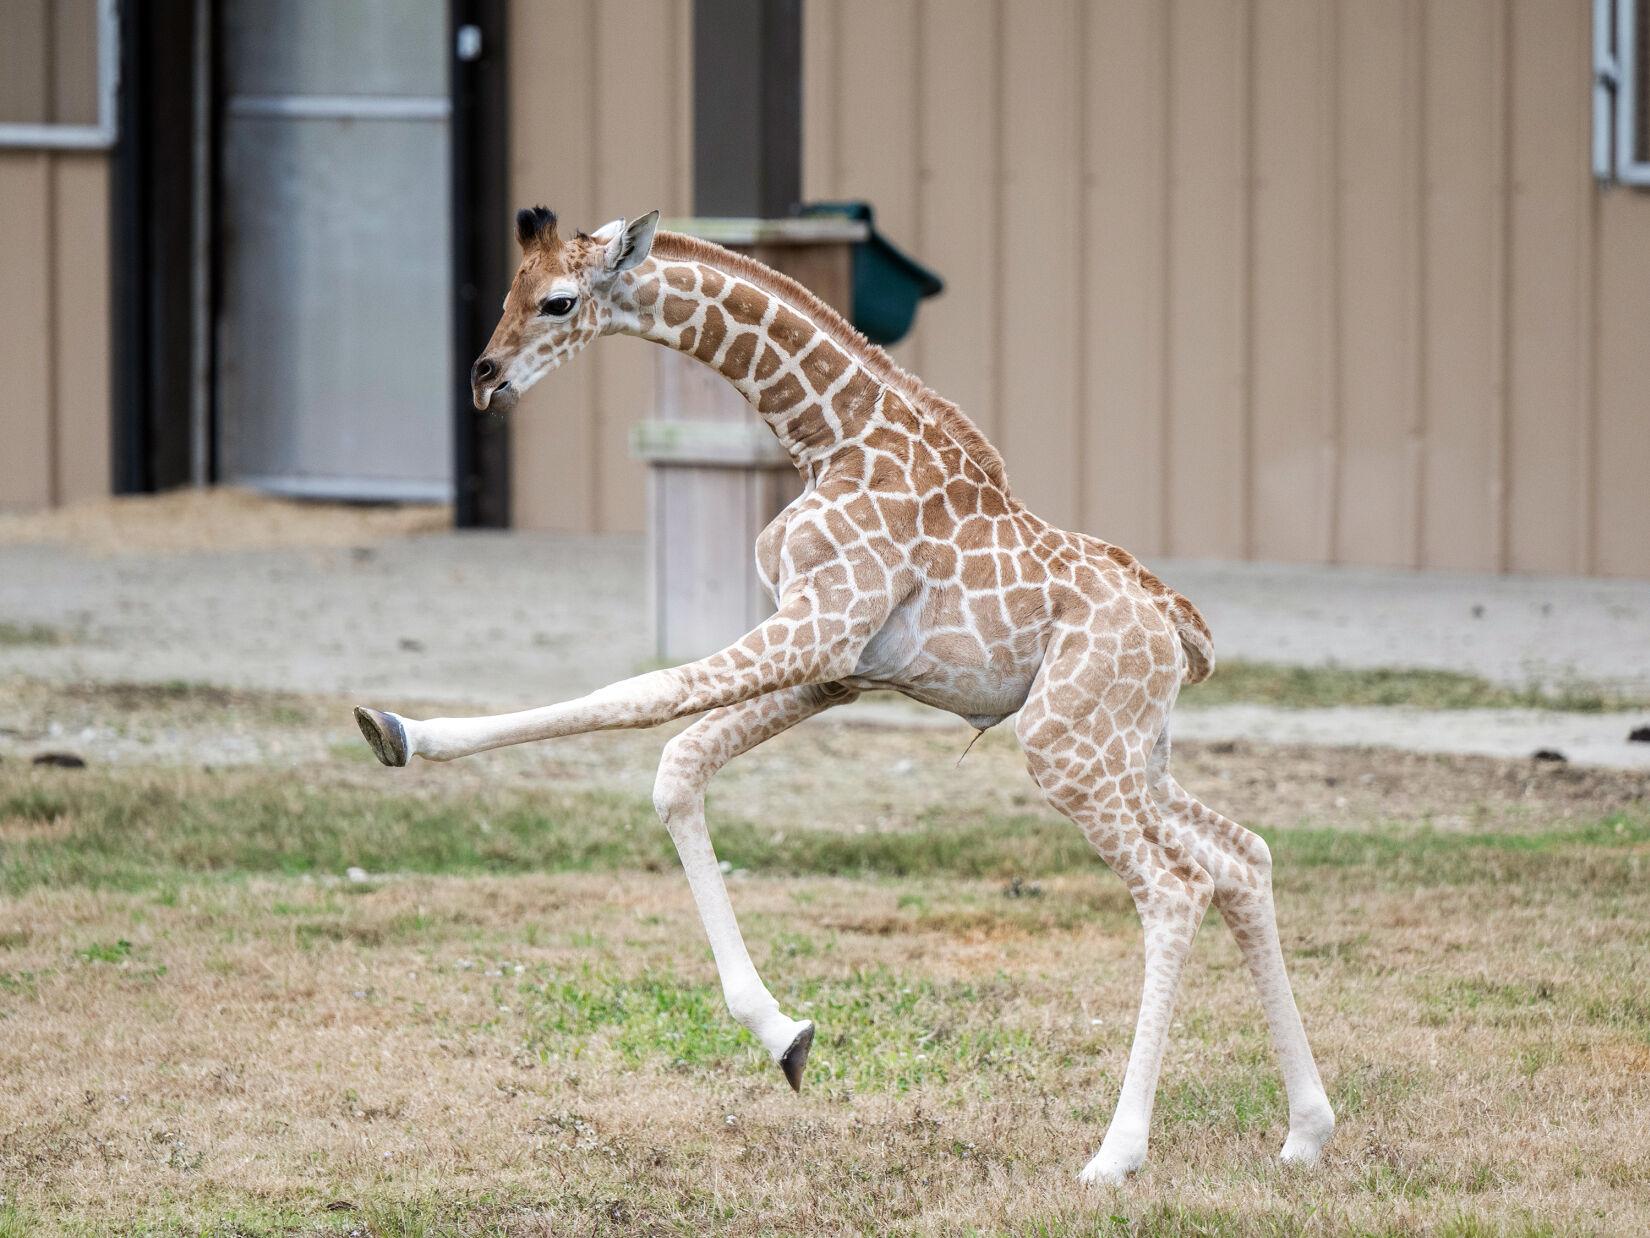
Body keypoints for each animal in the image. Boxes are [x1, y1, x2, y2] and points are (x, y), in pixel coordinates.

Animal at [354, 206, 1335, 1184]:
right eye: (509, 291)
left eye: (558, 300)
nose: (485, 378)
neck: (830, 435)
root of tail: (1182, 634)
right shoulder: (839, 665)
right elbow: (679, 764)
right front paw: (785, 1036)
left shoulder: (820, 623)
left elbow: (639, 694)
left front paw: (396, 728)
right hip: (1130, 746)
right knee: (1241, 858)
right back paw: (1305, 1132)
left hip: (1064, 743)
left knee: (1172, 889)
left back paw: (1118, 1154)